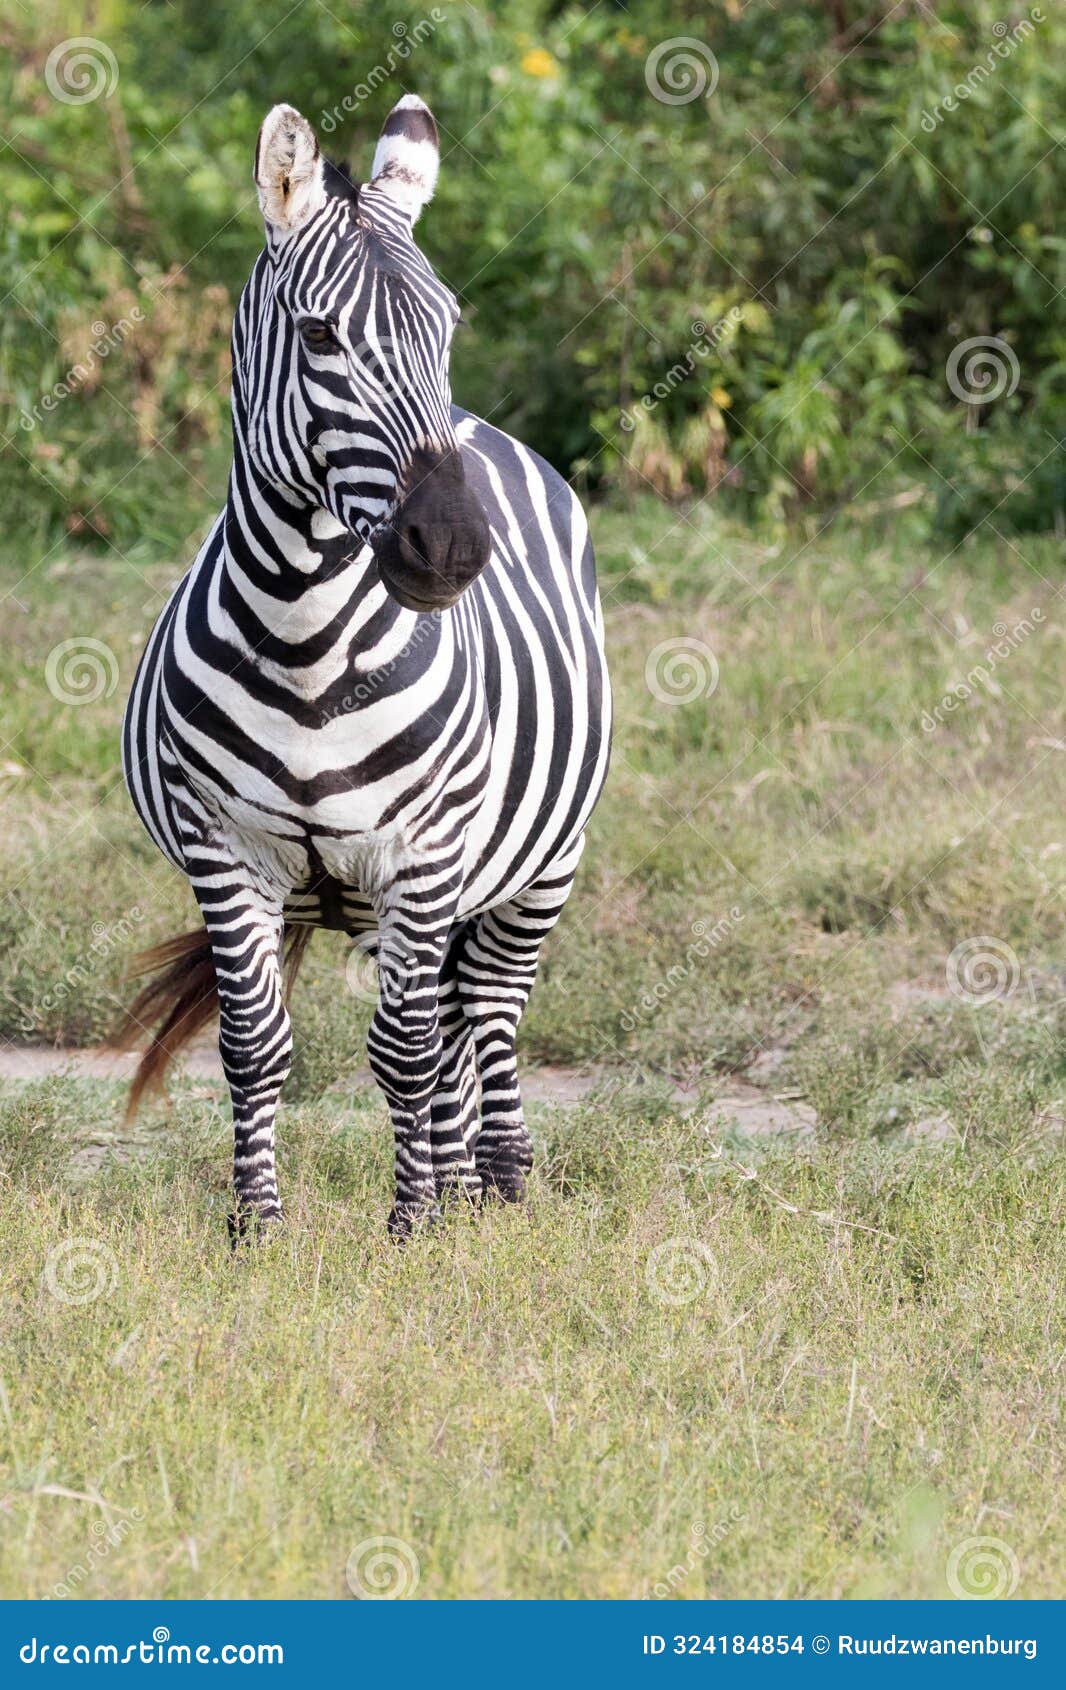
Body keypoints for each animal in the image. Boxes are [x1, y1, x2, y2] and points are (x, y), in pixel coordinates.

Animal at [119, 95, 611, 1239]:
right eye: (319, 335)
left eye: (450, 326)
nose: (453, 547)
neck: (305, 641)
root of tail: (482, 426)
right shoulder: (225, 851)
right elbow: (255, 1048)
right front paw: (258, 1228)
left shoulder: (423, 852)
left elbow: (403, 1055)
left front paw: (411, 1228)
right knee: (449, 1018)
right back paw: (462, 1183)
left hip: (539, 862)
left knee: (483, 1013)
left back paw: (495, 1182)